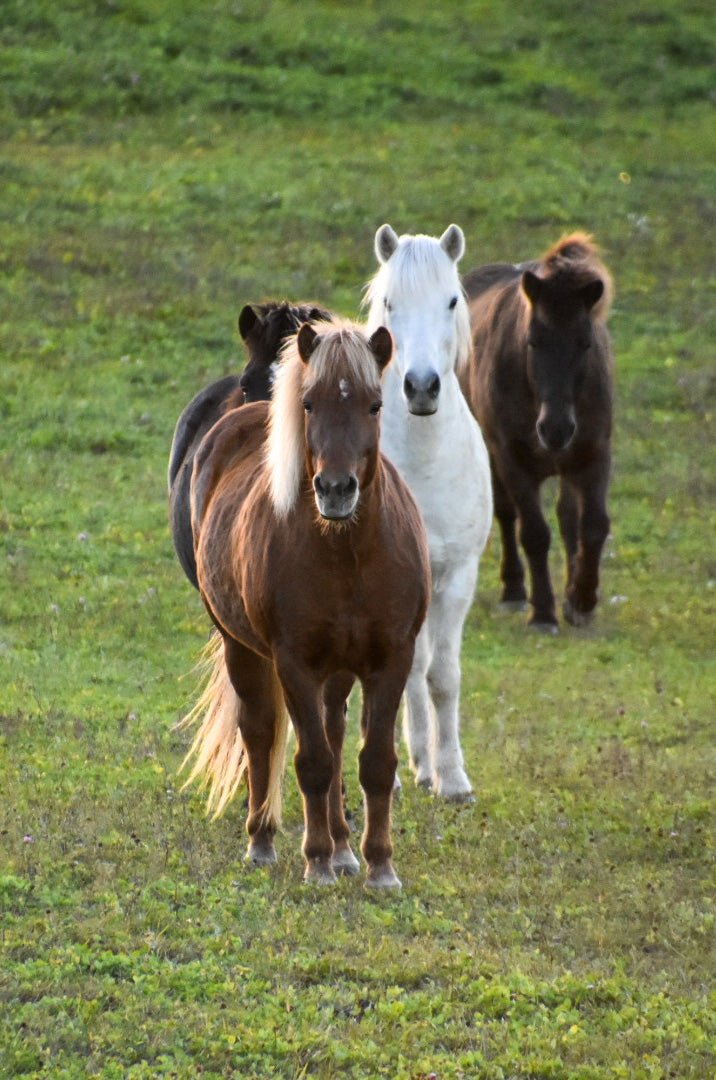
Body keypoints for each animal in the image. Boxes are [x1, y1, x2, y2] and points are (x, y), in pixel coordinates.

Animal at [179, 320, 430, 888]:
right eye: (310, 404)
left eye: (375, 405)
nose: (335, 490)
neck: (349, 554)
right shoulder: (292, 662)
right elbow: (311, 761)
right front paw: (315, 861)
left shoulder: (393, 660)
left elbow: (373, 761)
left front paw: (379, 864)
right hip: (240, 647)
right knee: (260, 732)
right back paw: (264, 840)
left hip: (337, 670)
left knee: (335, 735)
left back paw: (343, 848)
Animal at [461, 232, 614, 632]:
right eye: (533, 341)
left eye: (586, 343)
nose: (555, 428)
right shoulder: (511, 458)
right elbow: (533, 532)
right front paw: (543, 612)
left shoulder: (594, 453)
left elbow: (592, 525)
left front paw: (581, 599)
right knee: (505, 514)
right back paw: (514, 591)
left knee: (567, 517)